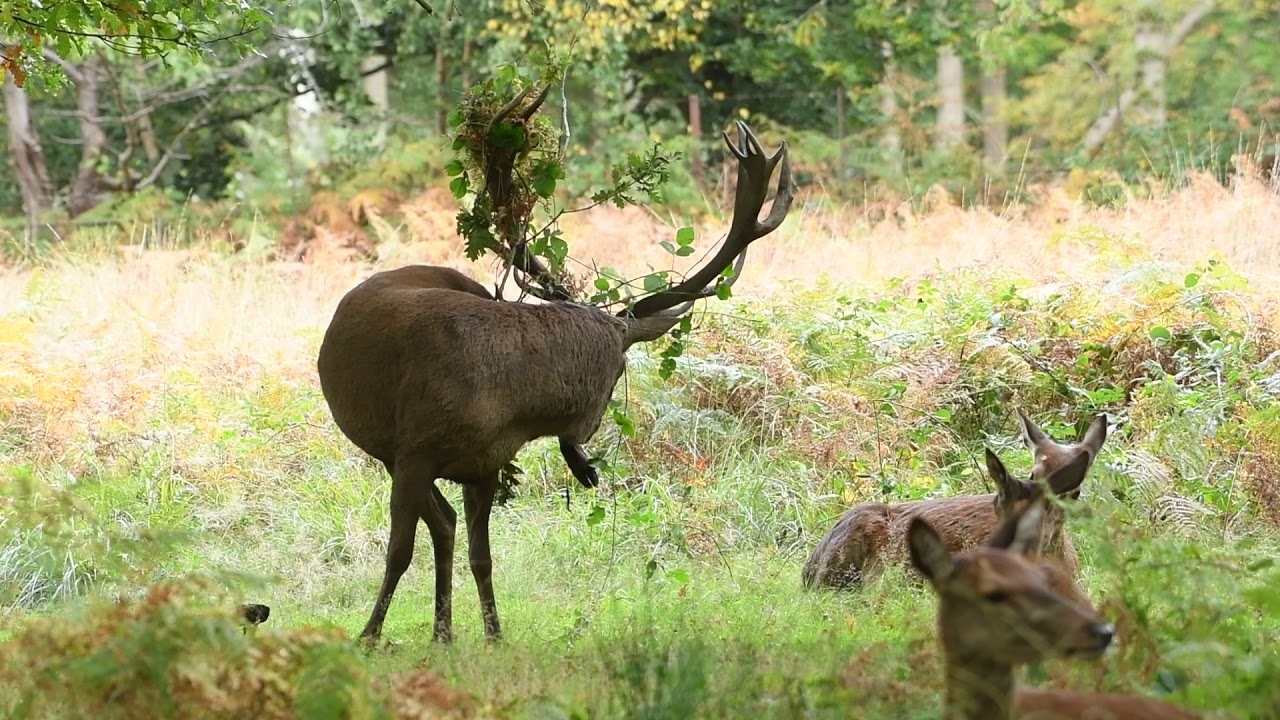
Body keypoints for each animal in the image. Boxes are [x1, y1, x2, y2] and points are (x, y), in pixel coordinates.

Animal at [316, 121, 794, 643]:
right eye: (620, 371)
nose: (588, 447)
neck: (508, 410)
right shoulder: (415, 450)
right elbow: (399, 551)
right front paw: (368, 636)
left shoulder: (486, 462)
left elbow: (482, 556)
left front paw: (494, 634)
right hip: (387, 449)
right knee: (437, 524)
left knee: (445, 524)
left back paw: (443, 631)